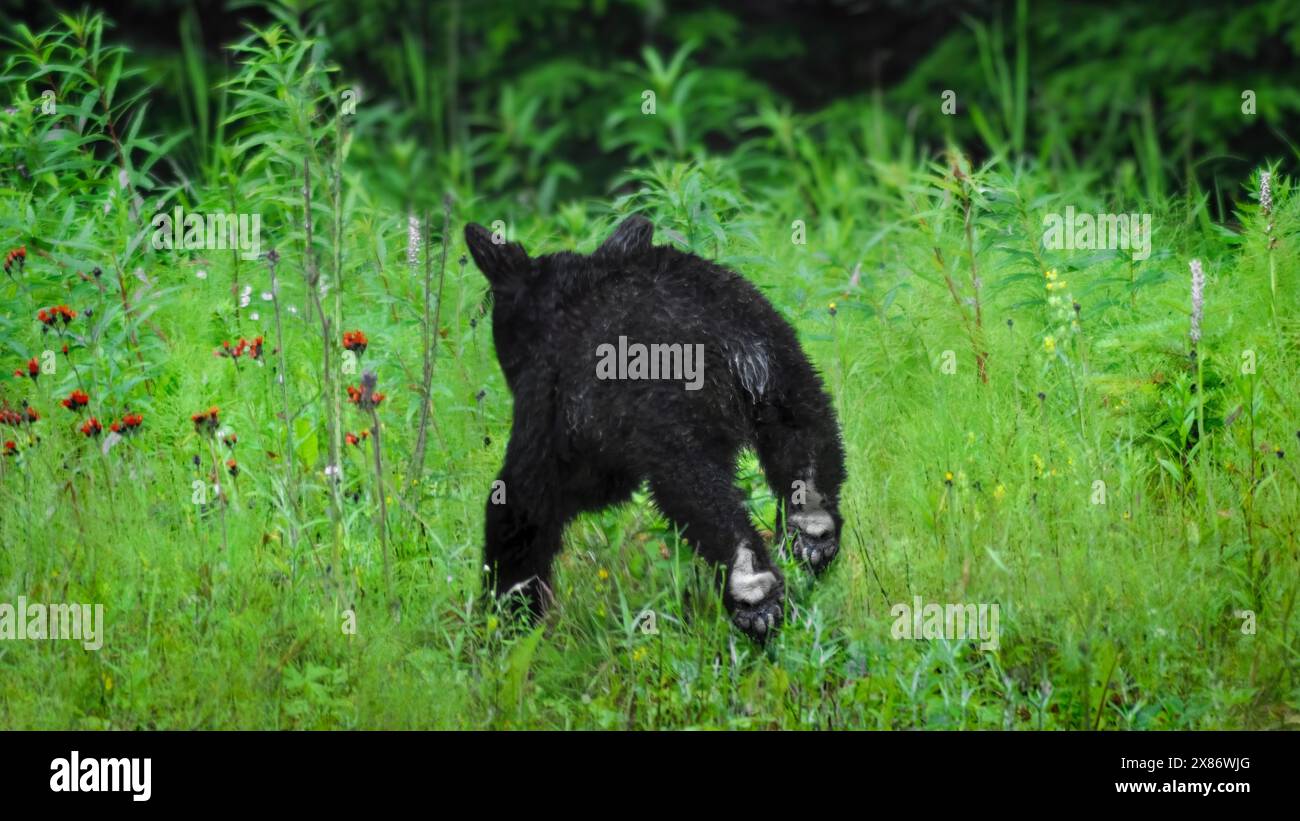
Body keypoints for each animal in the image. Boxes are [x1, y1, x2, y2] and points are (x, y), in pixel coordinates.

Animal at [465, 215, 846, 641]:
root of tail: (730, 341)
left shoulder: (556, 417)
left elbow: (521, 504)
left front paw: (506, 618)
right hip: (788, 374)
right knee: (809, 439)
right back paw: (812, 530)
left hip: (670, 421)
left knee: (701, 494)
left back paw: (752, 591)